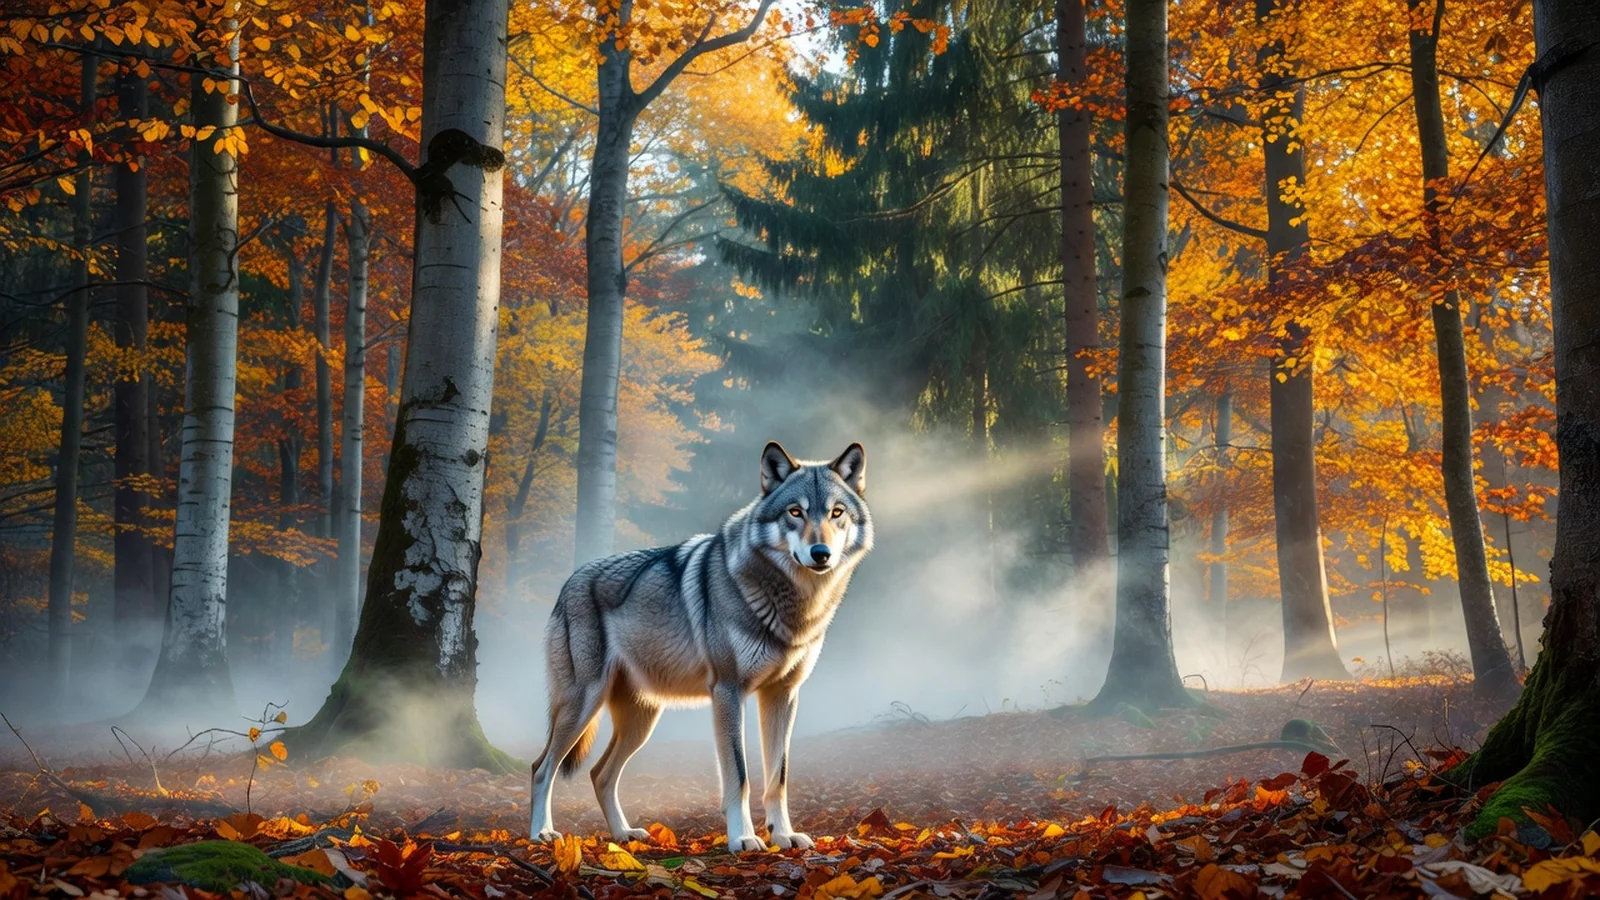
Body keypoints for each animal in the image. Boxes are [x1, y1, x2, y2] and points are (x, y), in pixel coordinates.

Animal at [529, 441, 874, 852]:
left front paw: (783, 835)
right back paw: (541, 833)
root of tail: (569, 582)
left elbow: (778, 778)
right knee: (541, 768)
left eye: (836, 513)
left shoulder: (783, 695)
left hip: (641, 720)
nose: (820, 553)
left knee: (599, 773)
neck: (792, 604)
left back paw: (624, 835)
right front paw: (743, 838)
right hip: (584, 704)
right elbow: (739, 776)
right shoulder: (728, 692)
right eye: (795, 512)